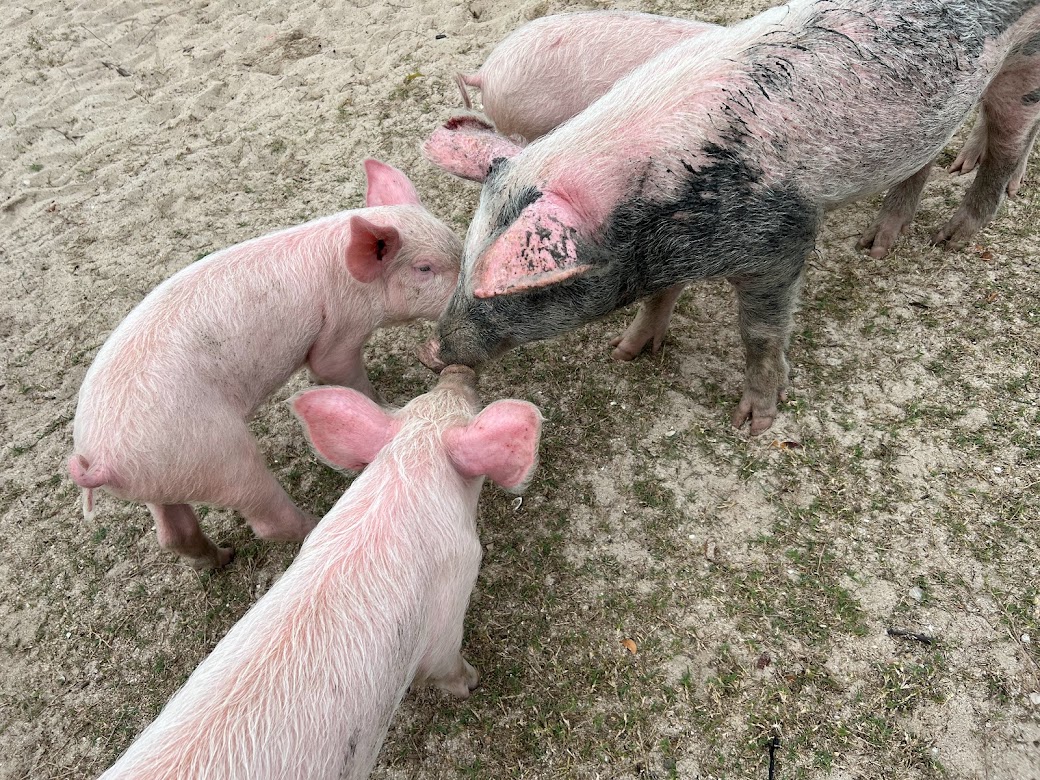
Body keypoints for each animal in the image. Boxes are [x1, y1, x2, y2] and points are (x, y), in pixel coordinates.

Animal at [68, 159, 462, 569]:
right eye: (424, 268)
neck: (355, 278)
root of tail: (100, 458)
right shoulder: (339, 329)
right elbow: (338, 369)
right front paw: (385, 404)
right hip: (218, 452)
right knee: (266, 518)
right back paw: (312, 525)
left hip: (164, 477)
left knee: (173, 533)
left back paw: (224, 558)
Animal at [97, 365, 544, 780]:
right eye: (468, 412)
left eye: (426, 397)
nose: (458, 371)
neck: (410, 466)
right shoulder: (450, 602)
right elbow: (444, 665)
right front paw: (473, 681)